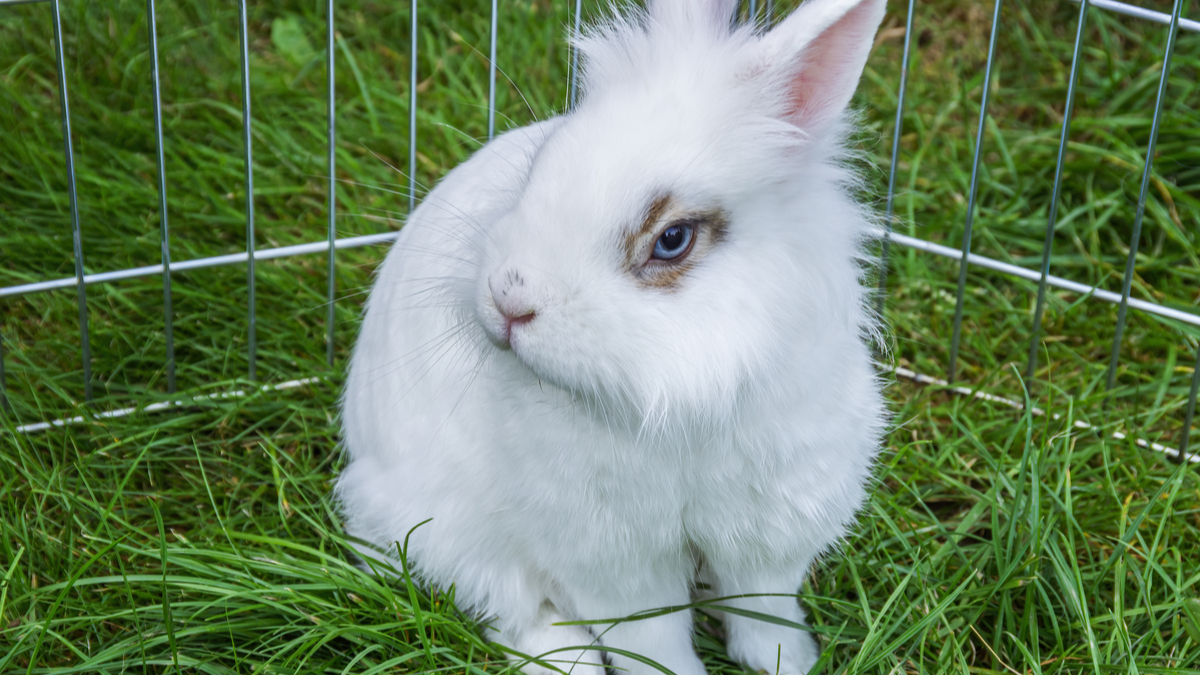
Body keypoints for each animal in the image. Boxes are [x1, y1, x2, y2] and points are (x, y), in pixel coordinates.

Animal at [337, 0, 889, 673]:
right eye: (540, 165)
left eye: (672, 239)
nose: (509, 298)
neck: (686, 395)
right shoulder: (612, 560)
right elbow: (649, 638)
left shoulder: (774, 525)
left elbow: (763, 607)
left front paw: (788, 661)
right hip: (444, 530)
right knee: (516, 610)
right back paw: (567, 660)